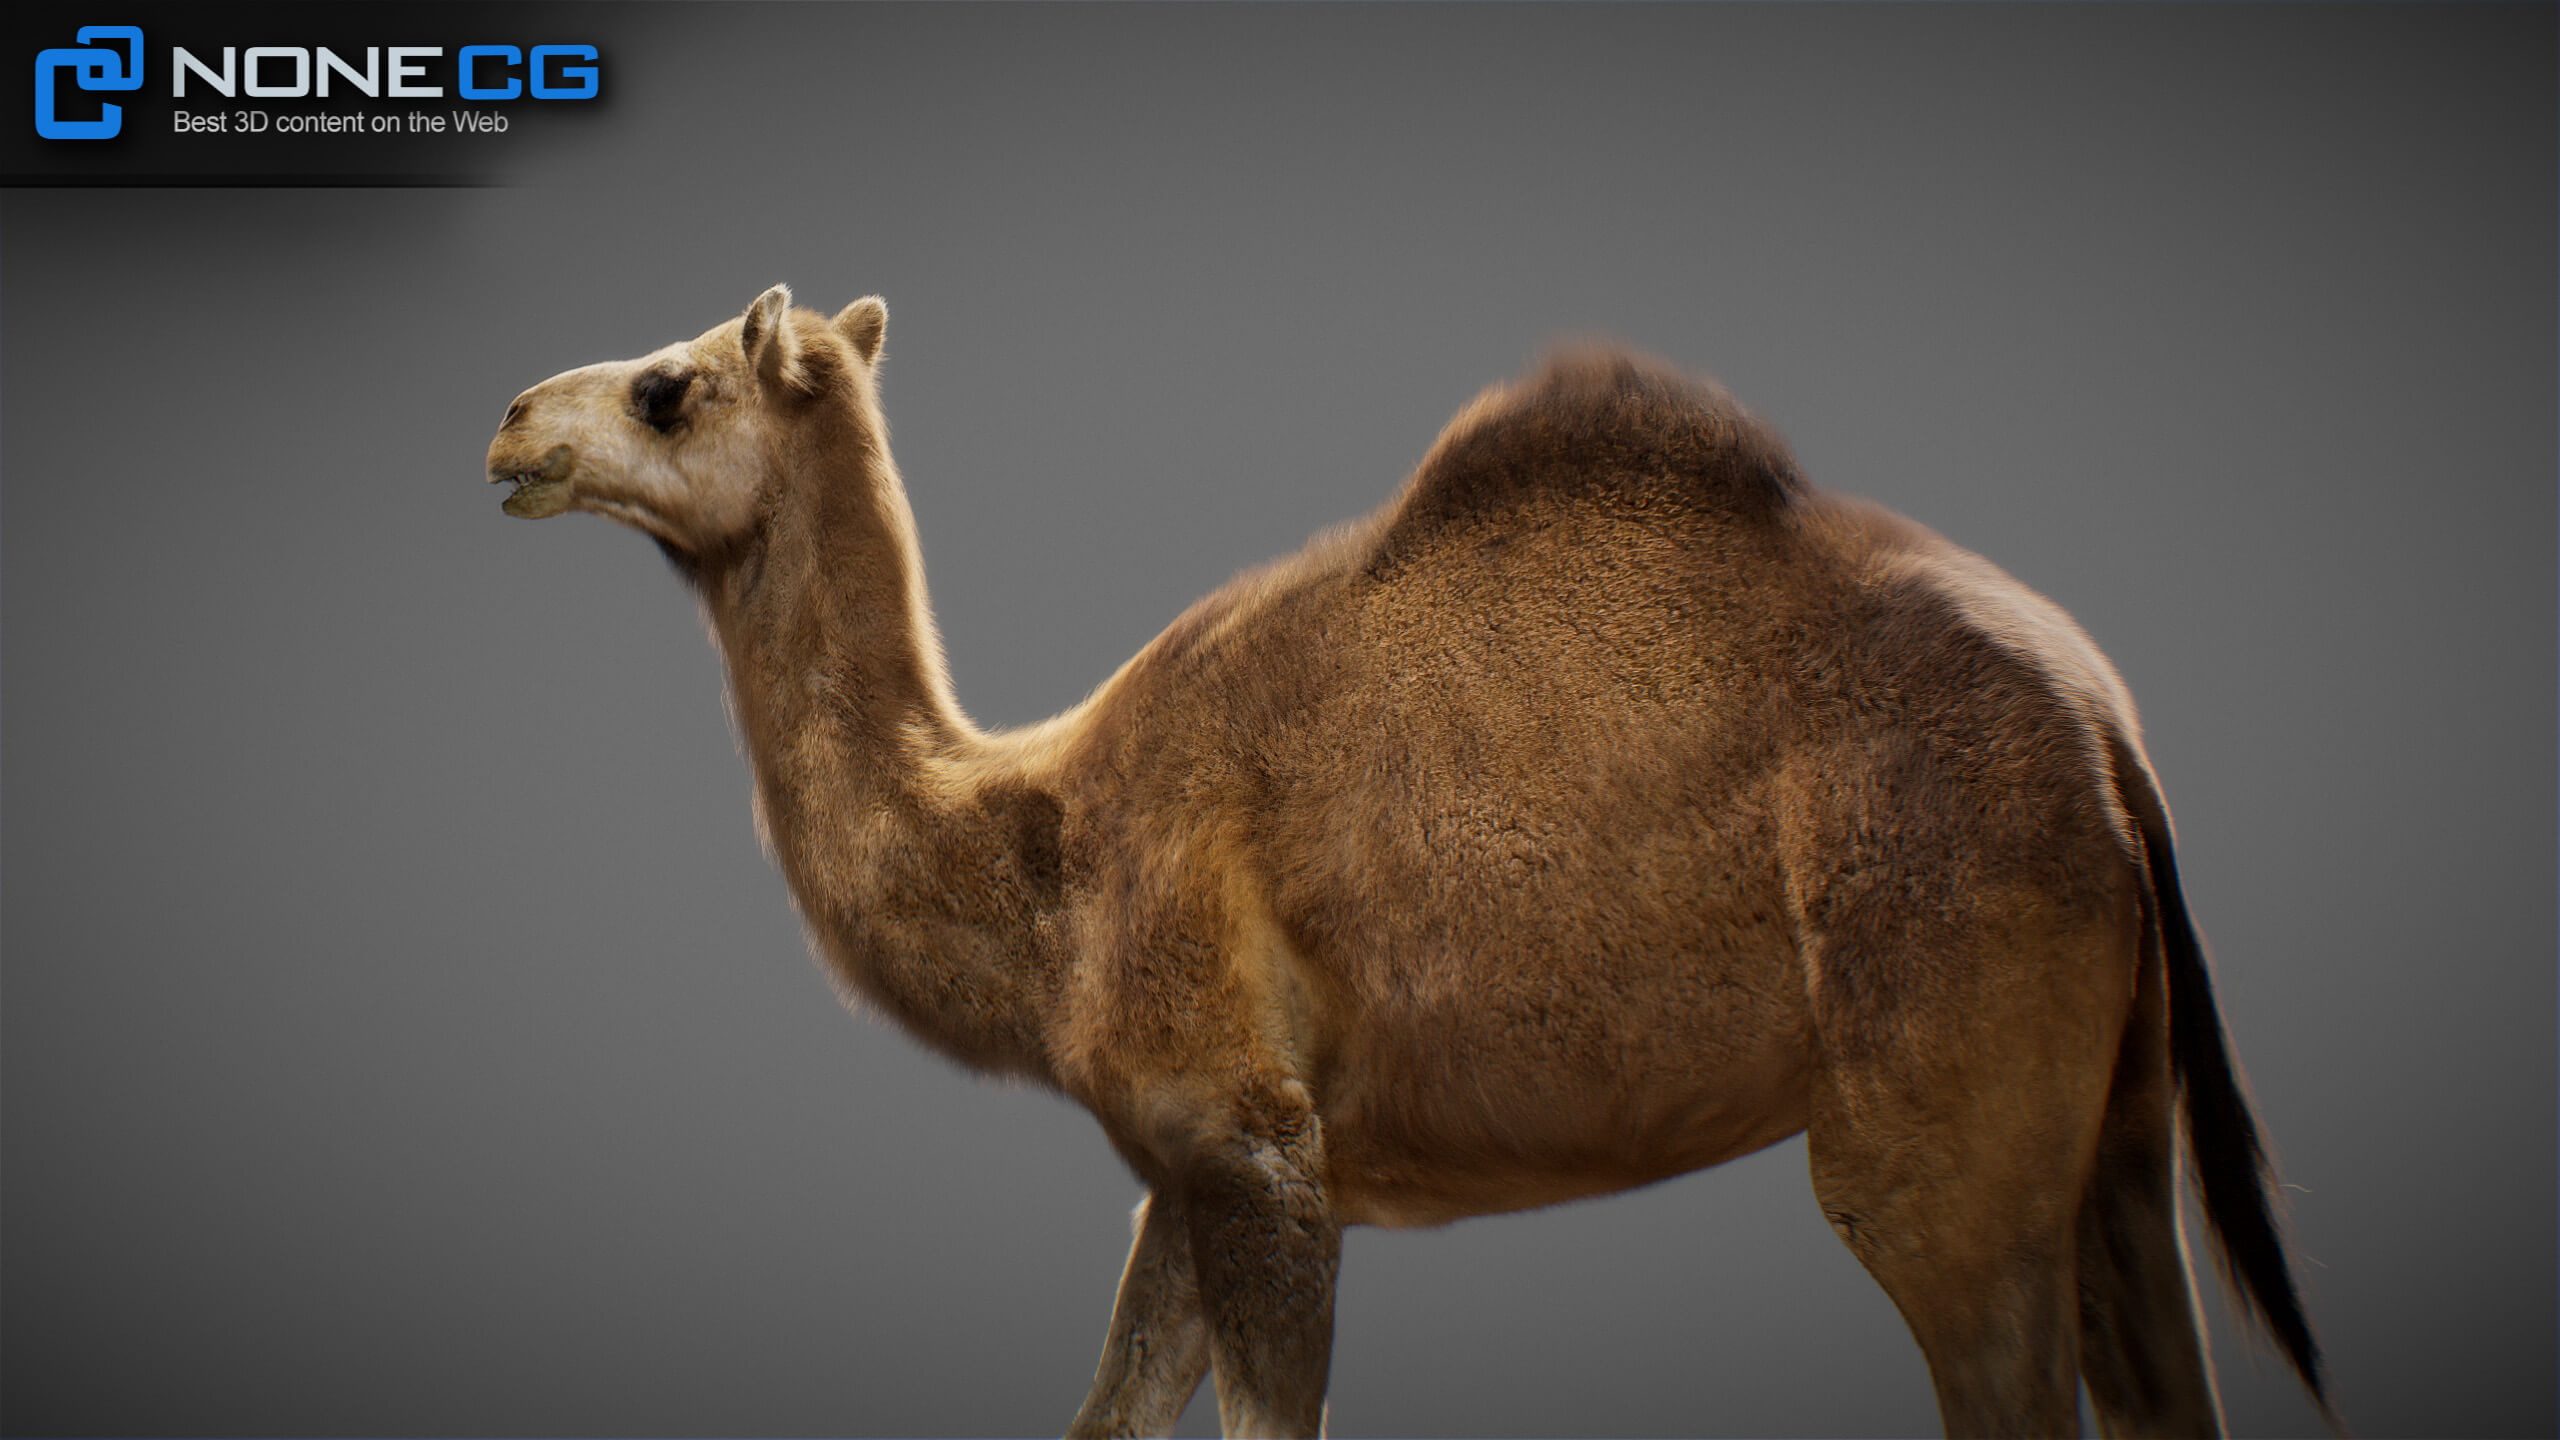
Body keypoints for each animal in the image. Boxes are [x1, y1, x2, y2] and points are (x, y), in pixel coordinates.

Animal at [483, 285, 2333, 1439]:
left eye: (672, 386)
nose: (509, 423)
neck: (1047, 849)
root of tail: (2109, 739)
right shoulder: (1185, 1171)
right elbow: (1103, 1407)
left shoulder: (1254, 1141)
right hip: (2120, 1121)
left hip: (1939, 1092)